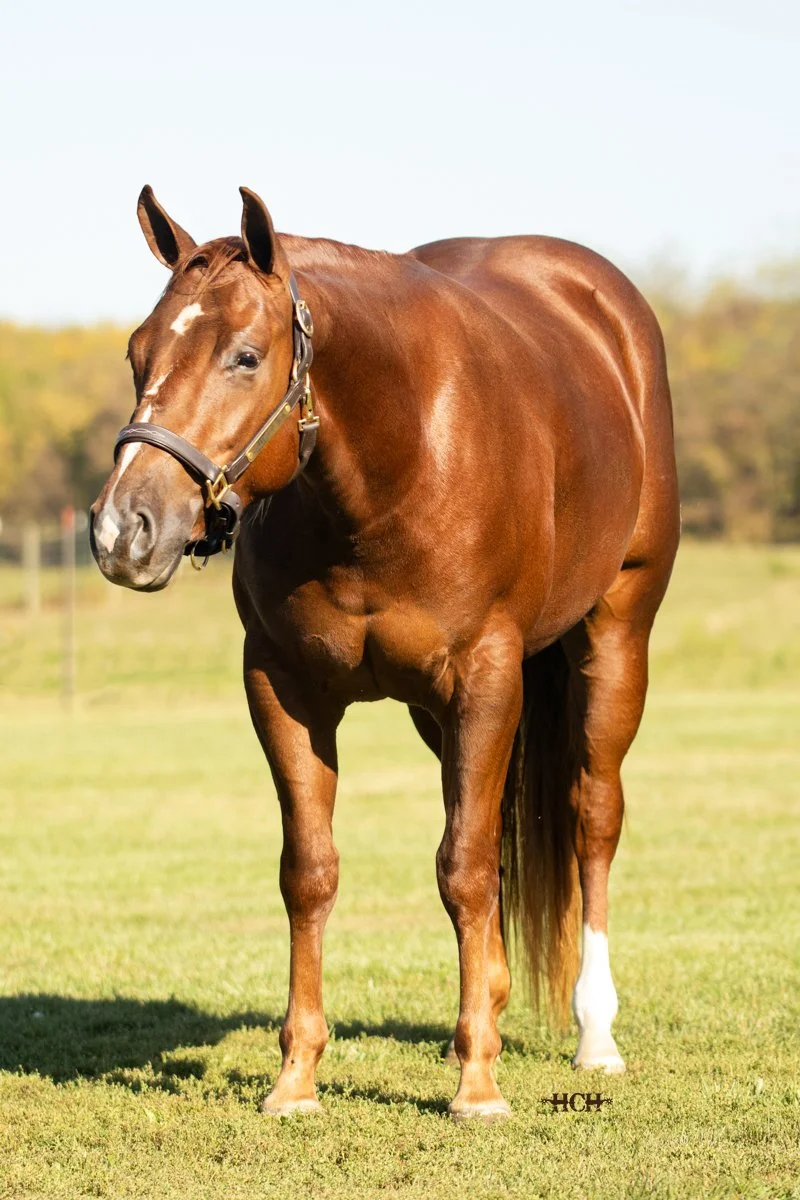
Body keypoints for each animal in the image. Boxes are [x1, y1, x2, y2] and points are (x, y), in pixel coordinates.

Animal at [90, 185, 680, 1121]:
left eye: (245, 357)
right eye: (137, 352)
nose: (123, 530)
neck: (396, 459)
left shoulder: (486, 678)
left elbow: (464, 869)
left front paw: (479, 1087)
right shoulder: (285, 687)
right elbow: (314, 871)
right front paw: (297, 1076)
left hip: (616, 636)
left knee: (593, 817)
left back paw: (594, 1037)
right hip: (437, 716)